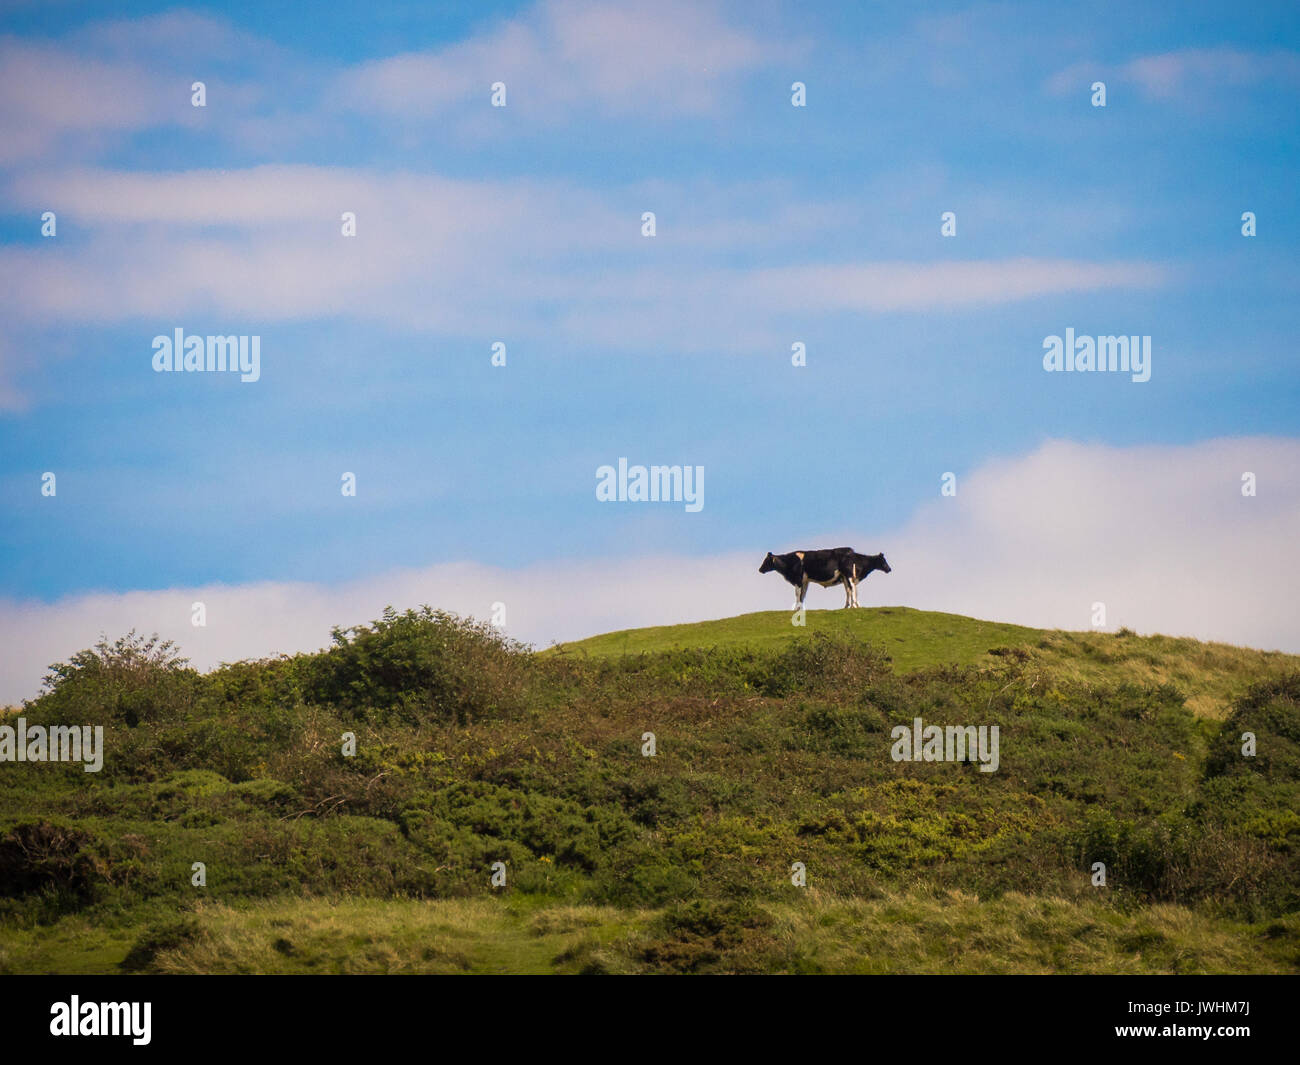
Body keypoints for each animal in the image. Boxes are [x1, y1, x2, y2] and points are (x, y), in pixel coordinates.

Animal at [759, 547, 891, 609]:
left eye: (766, 560)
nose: (760, 569)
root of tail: (851, 551)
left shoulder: (798, 579)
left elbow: (797, 594)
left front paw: (795, 608)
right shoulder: (805, 580)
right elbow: (802, 595)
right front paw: (800, 608)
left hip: (848, 575)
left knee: (852, 589)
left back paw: (853, 605)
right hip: (845, 576)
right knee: (849, 590)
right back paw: (848, 606)